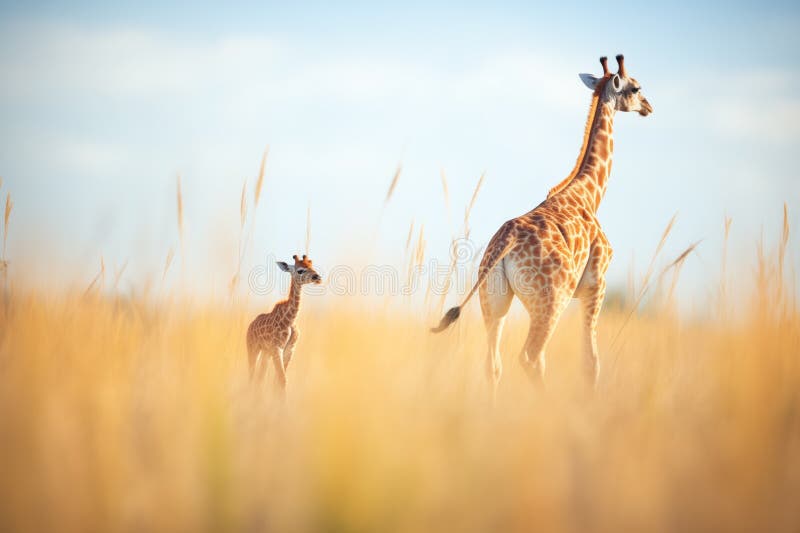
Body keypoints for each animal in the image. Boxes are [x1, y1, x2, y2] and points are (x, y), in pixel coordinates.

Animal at [246, 254, 322, 392]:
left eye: (311, 266)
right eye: (300, 270)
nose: (317, 278)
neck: (290, 320)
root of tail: (250, 325)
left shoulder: (290, 349)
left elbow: (279, 381)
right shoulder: (277, 348)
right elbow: (282, 380)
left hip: (266, 353)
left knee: (260, 377)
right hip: (252, 348)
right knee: (252, 373)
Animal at [432, 55, 652, 395]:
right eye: (636, 88)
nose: (648, 107)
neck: (590, 193)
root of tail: (505, 245)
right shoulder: (596, 285)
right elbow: (591, 363)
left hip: (494, 301)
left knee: (494, 364)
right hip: (551, 301)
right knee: (531, 357)